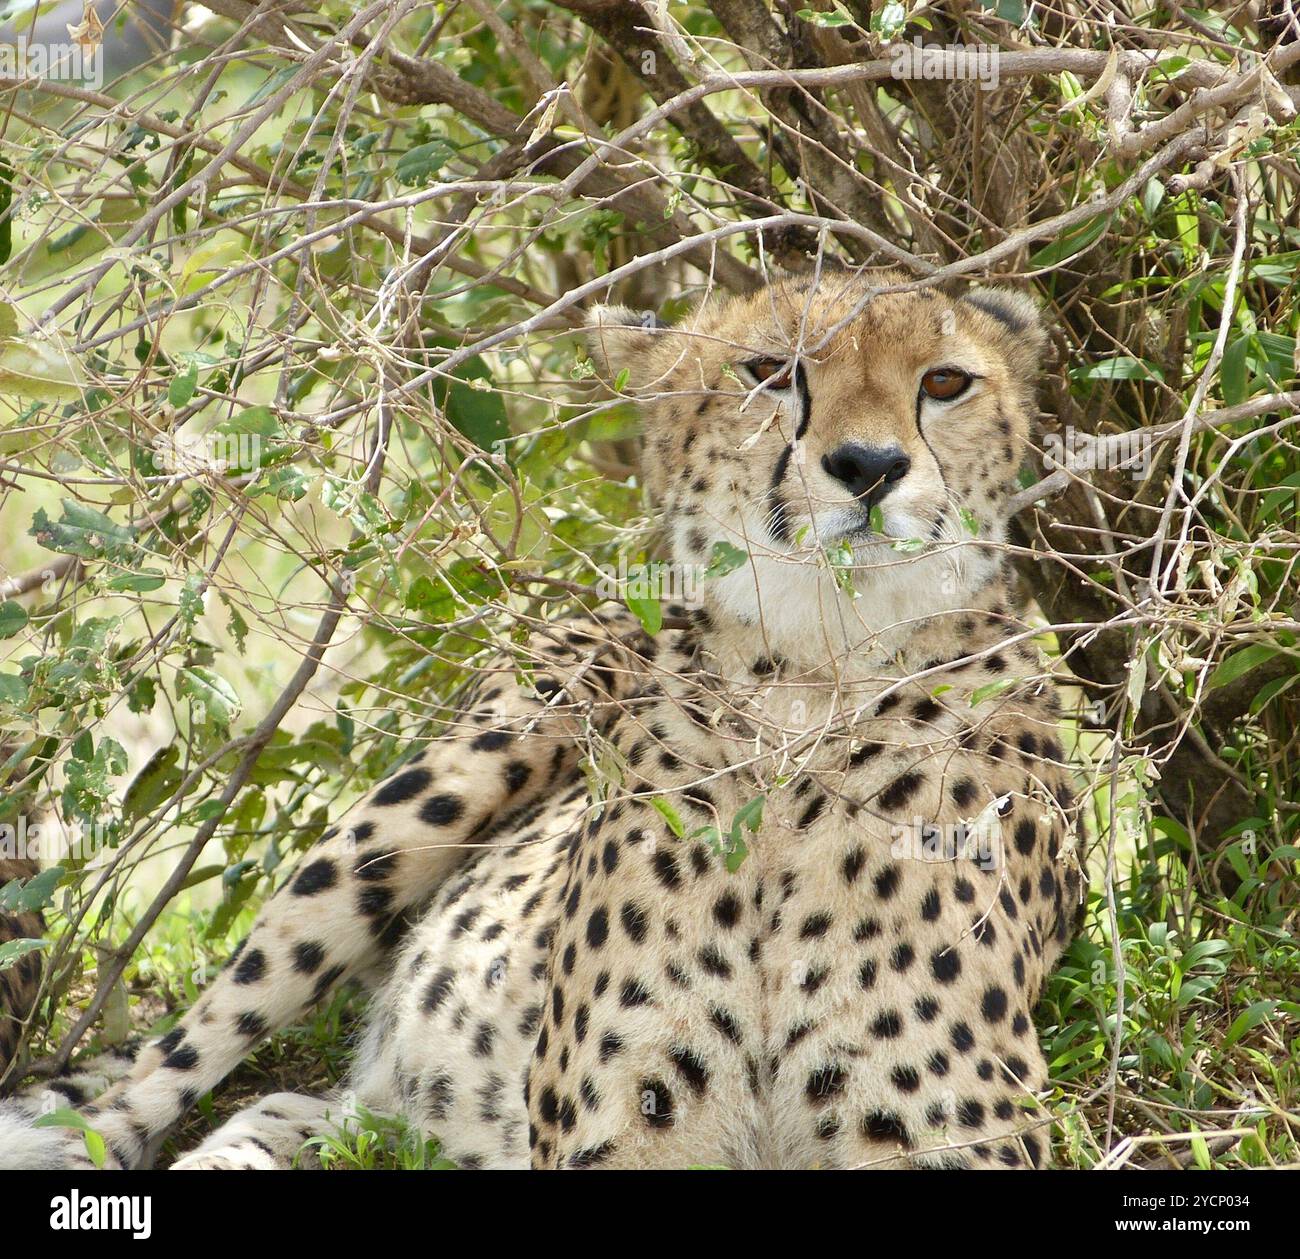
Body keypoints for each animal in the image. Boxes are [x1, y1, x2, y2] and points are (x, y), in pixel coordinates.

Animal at [0, 267, 1084, 1170]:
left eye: (944, 382)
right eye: (770, 372)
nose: (868, 465)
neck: (812, 682)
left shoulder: (957, 1135)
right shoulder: (625, 1122)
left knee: (311, 1111)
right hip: (435, 793)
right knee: (166, 1068)